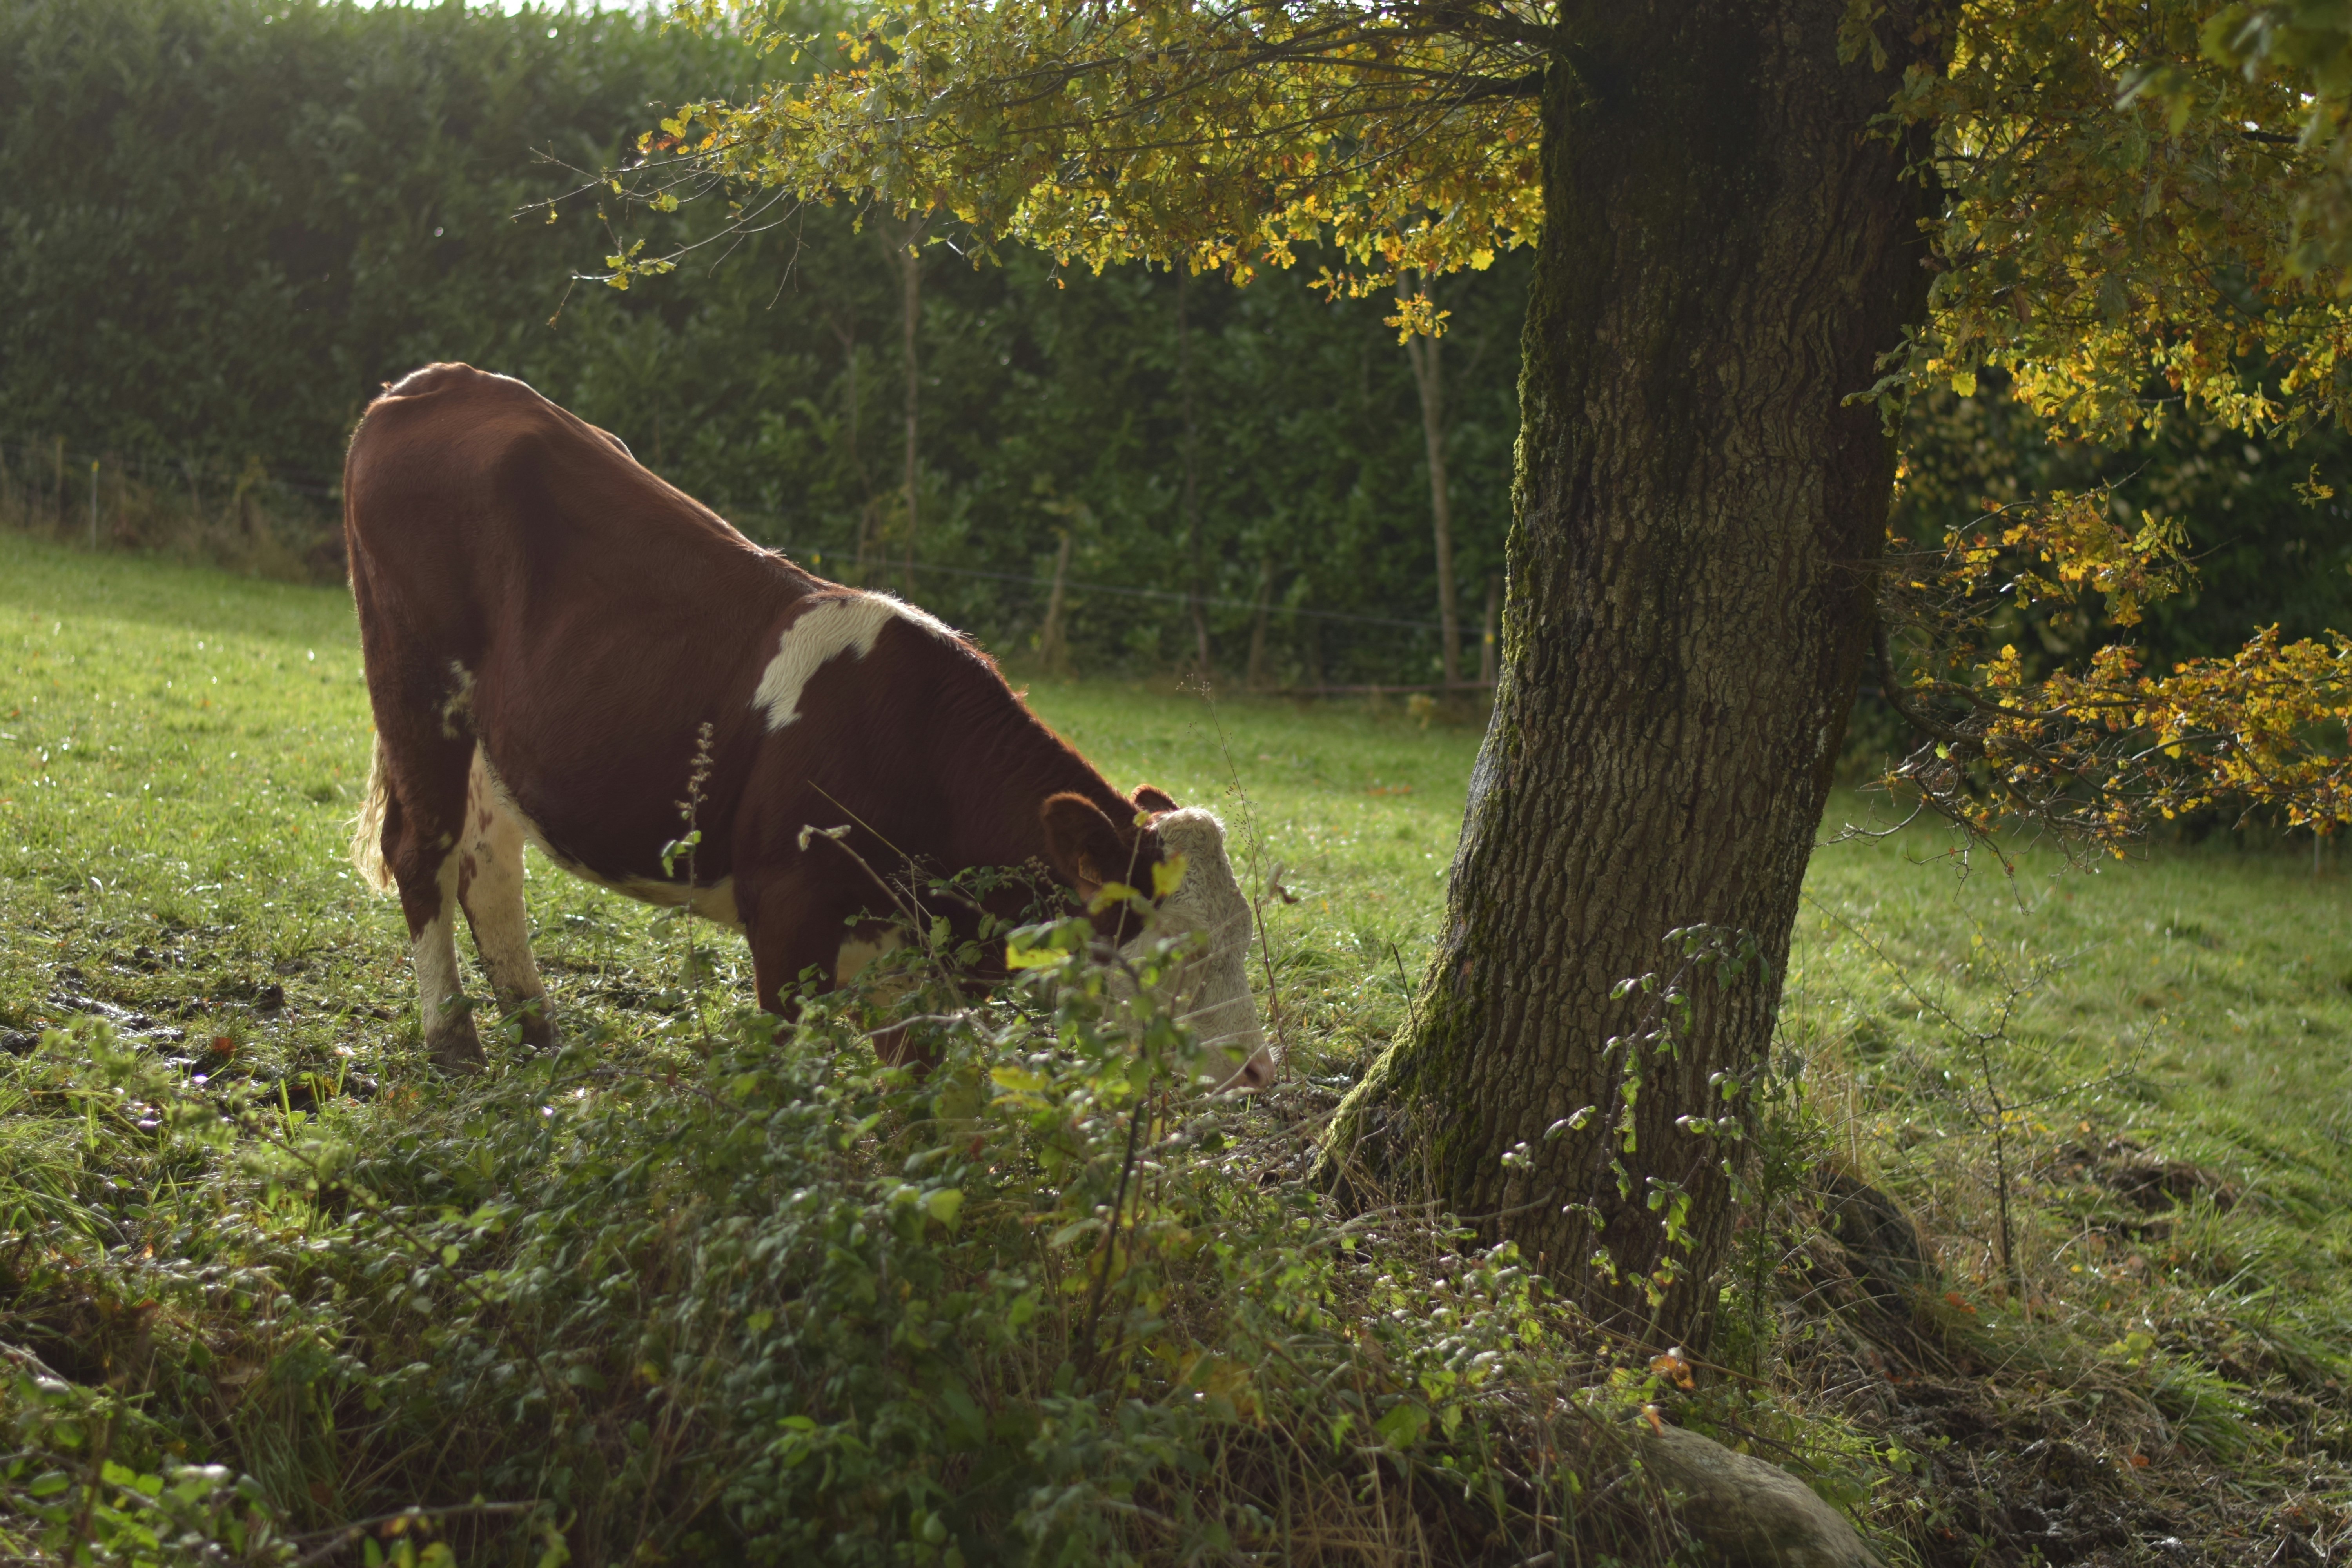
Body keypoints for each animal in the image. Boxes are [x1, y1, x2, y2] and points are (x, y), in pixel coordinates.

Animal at [340, 363, 1272, 1087]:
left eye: (1241, 937)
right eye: (1183, 953)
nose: (1258, 1072)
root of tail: (438, 382)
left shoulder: (914, 971)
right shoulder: (787, 915)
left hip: (494, 739)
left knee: (490, 863)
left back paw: (539, 1033)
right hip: (415, 687)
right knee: (423, 852)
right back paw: (455, 1044)